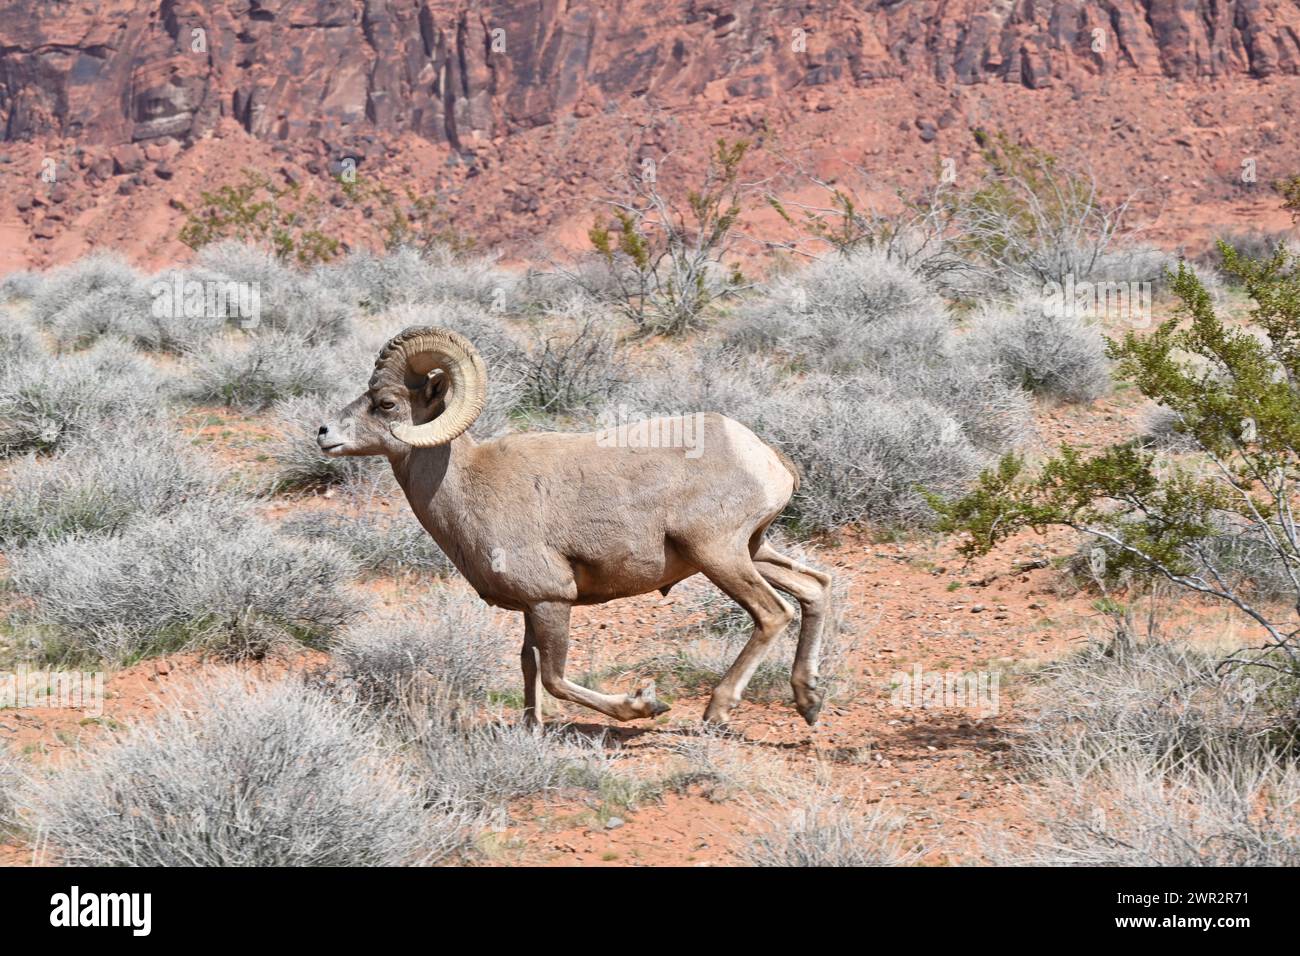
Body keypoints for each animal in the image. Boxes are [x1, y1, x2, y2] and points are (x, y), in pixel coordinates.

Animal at [317, 326, 832, 727]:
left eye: (386, 403)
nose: (324, 433)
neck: (469, 484)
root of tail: (766, 458)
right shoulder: (530, 607)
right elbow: (527, 666)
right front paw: (531, 729)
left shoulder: (552, 600)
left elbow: (555, 679)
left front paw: (644, 706)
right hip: (754, 551)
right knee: (815, 588)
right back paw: (808, 701)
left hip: (719, 555)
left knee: (773, 614)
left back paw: (718, 710)